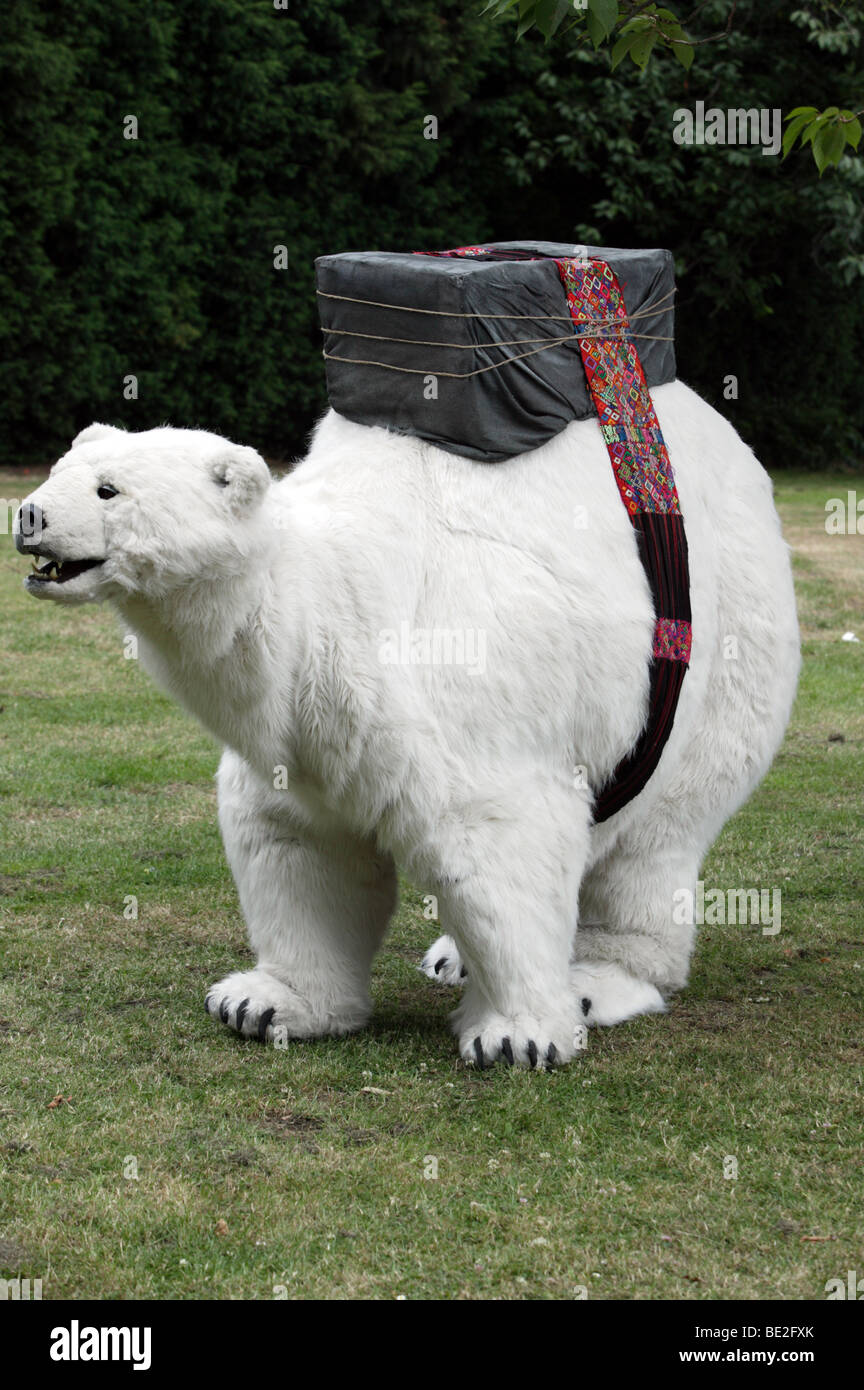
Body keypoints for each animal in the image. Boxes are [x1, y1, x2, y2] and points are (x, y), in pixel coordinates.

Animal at [14, 382, 800, 1068]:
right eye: (61, 470)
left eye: (109, 489)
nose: (27, 515)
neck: (318, 615)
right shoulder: (298, 733)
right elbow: (295, 846)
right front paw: (263, 1003)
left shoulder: (454, 710)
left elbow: (498, 848)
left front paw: (516, 1036)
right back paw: (451, 957)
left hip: (725, 653)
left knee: (657, 838)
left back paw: (596, 979)